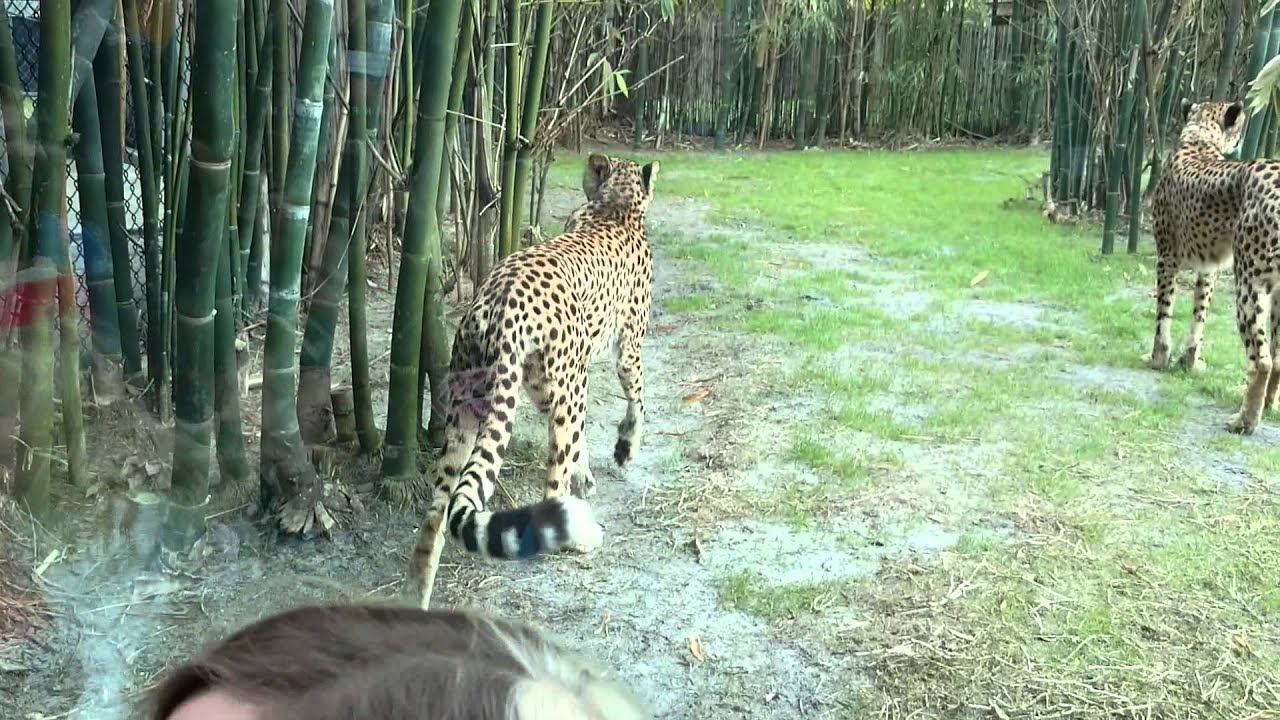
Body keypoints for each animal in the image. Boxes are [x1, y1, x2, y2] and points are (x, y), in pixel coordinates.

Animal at [406, 153, 659, 608]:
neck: (614, 206)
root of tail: (500, 299)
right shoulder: (626, 349)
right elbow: (637, 398)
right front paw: (625, 448)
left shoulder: (552, 389)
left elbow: (581, 440)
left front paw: (587, 475)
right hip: (563, 389)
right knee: (551, 487)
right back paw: (578, 537)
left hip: (468, 410)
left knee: (439, 509)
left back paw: (418, 589)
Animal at [1146, 99, 1247, 375]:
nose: (1240, 138)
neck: (1201, 135)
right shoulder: (1208, 266)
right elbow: (1199, 311)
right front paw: (1188, 359)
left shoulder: (1167, 256)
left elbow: (1164, 309)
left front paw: (1160, 356)